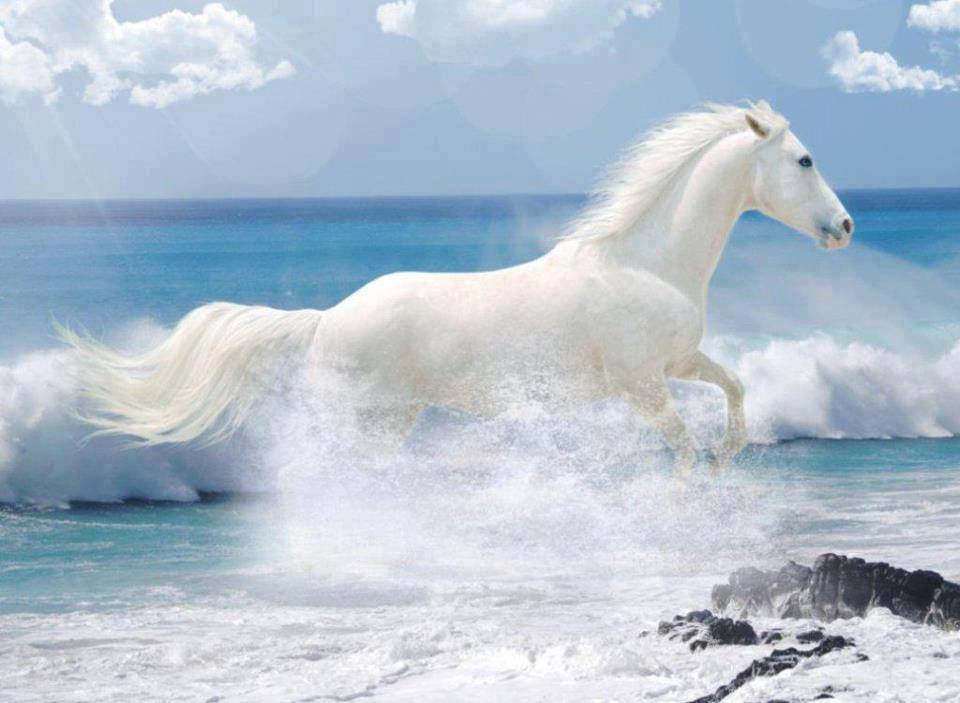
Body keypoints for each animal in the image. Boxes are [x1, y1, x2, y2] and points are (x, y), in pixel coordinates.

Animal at [61, 101, 853, 473]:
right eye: (806, 160)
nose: (845, 226)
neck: (647, 262)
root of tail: (324, 319)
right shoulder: (641, 384)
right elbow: (681, 448)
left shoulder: (677, 363)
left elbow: (735, 389)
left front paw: (728, 457)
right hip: (365, 417)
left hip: (394, 419)